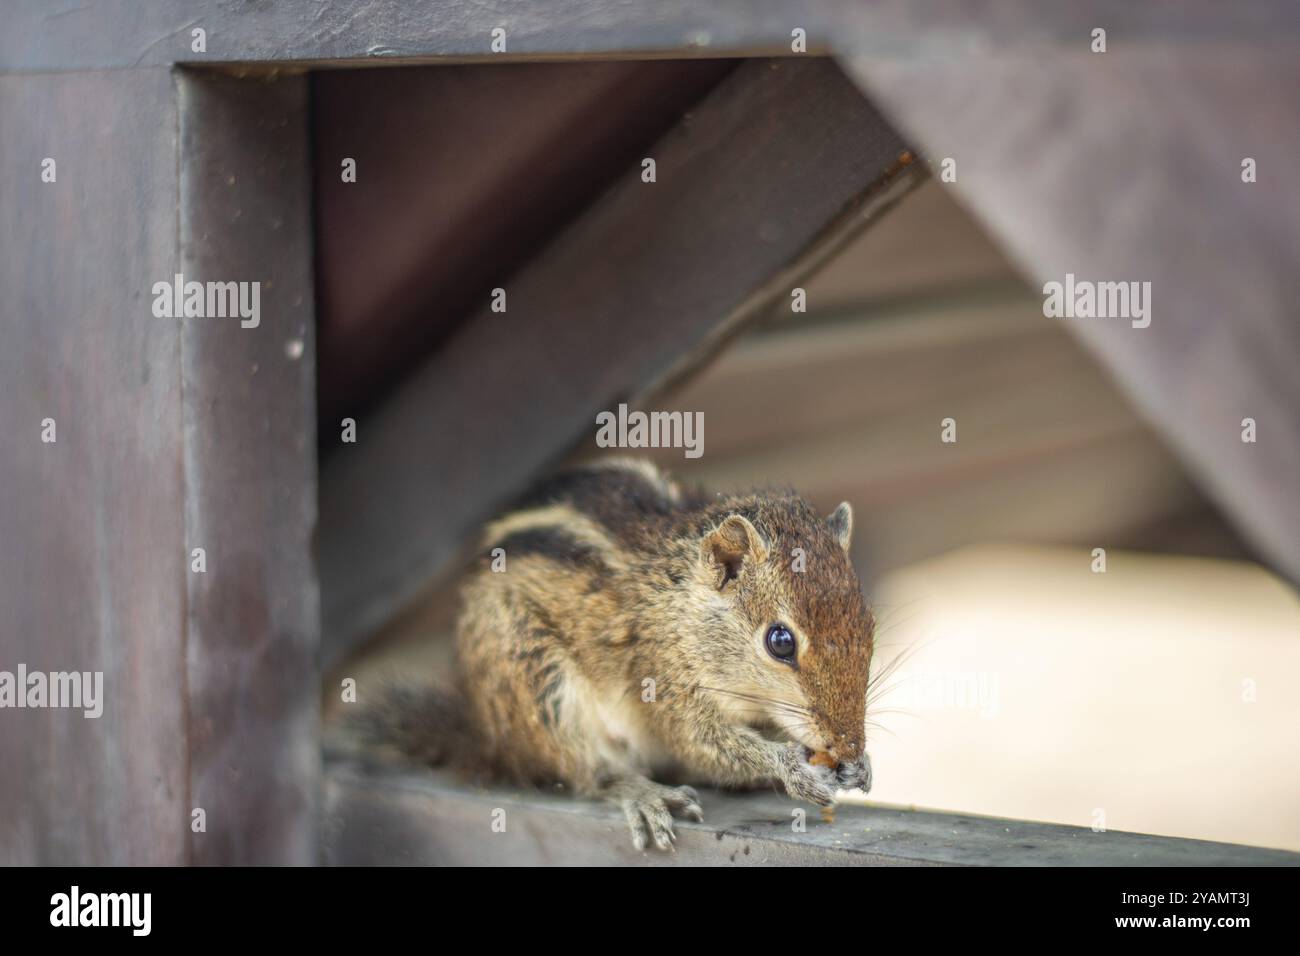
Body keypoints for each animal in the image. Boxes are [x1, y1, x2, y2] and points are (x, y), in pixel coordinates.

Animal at [353, 458, 876, 851]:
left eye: (868, 622)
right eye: (780, 641)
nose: (850, 745)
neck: (680, 602)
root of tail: (489, 739)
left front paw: (859, 766)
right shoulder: (664, 677)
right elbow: (703, 743)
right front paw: (790, 768)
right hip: (536, 683)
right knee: (588, 773)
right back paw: (640, 792)